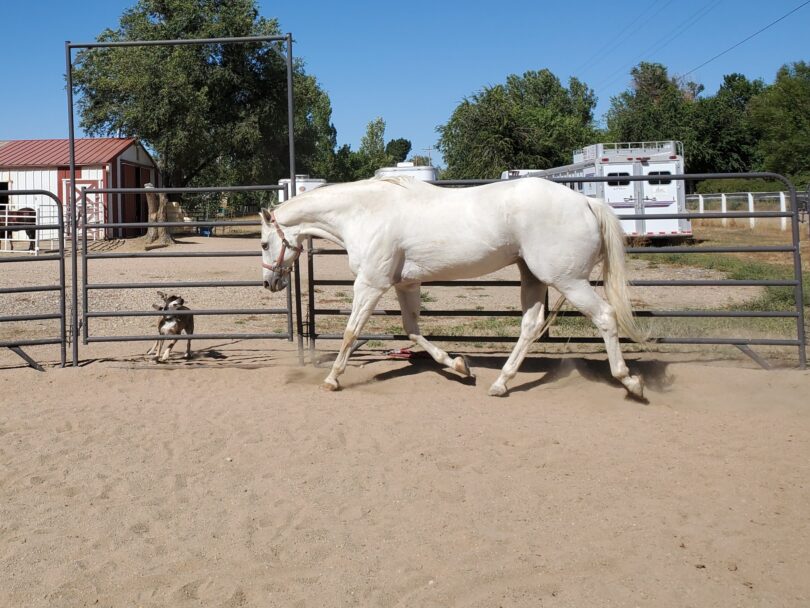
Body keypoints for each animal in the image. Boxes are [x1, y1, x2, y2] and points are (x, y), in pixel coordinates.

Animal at [260, 176, 647, 398]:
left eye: (263, 243)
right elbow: (413, 331)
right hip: (534, 276)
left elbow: (352, 332)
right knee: (530, 326)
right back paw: (500, 383)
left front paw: (332, 379)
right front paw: (460, 366)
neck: (365, 213)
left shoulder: (370, 284)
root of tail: (587, 201)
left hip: (566, 279)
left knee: (605, 317)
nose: (270, 282)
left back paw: (631, 382)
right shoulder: (406, 284)